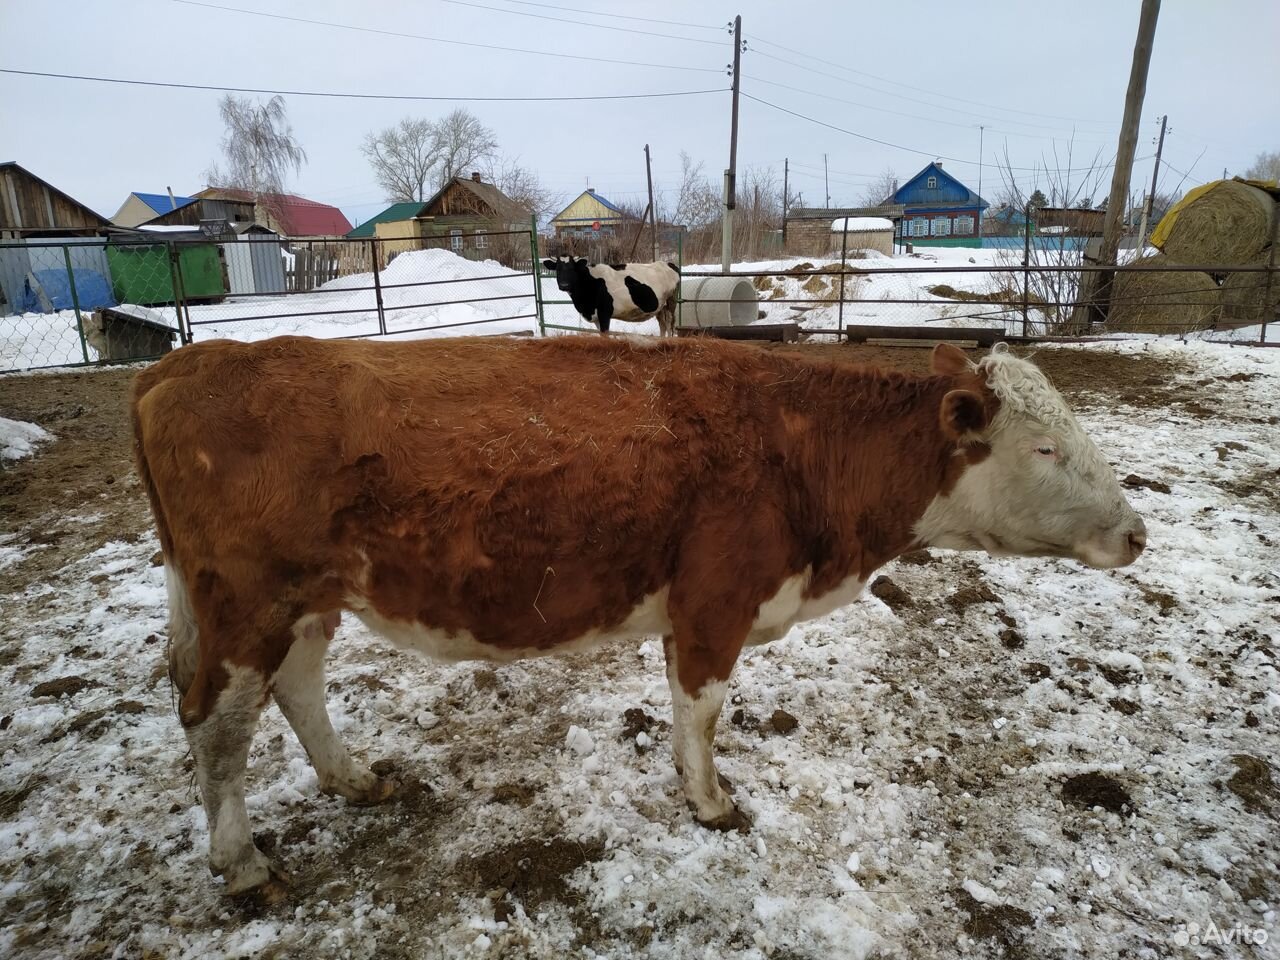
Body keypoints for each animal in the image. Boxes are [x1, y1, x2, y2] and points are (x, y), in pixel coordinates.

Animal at [130, 335, 1146, 902]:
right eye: (1045, 446)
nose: (1137, 532)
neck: (802, 447)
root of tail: (191, 359)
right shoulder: (715, 601)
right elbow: (703, 708)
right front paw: (710, 801)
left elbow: (682, 706)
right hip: (249, 602)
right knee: (216, 722)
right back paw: (243, 865)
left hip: (308, 601)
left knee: (296, 689)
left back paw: (354, 781)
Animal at [541, 256, 681, 337]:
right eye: (558, 269)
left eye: (572, 269)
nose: (564, 285)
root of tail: (667, 264)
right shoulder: (596, 317)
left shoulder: (604, 313)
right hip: (660, 307)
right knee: (662, 324)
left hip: (671, 302)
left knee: (669, 324)